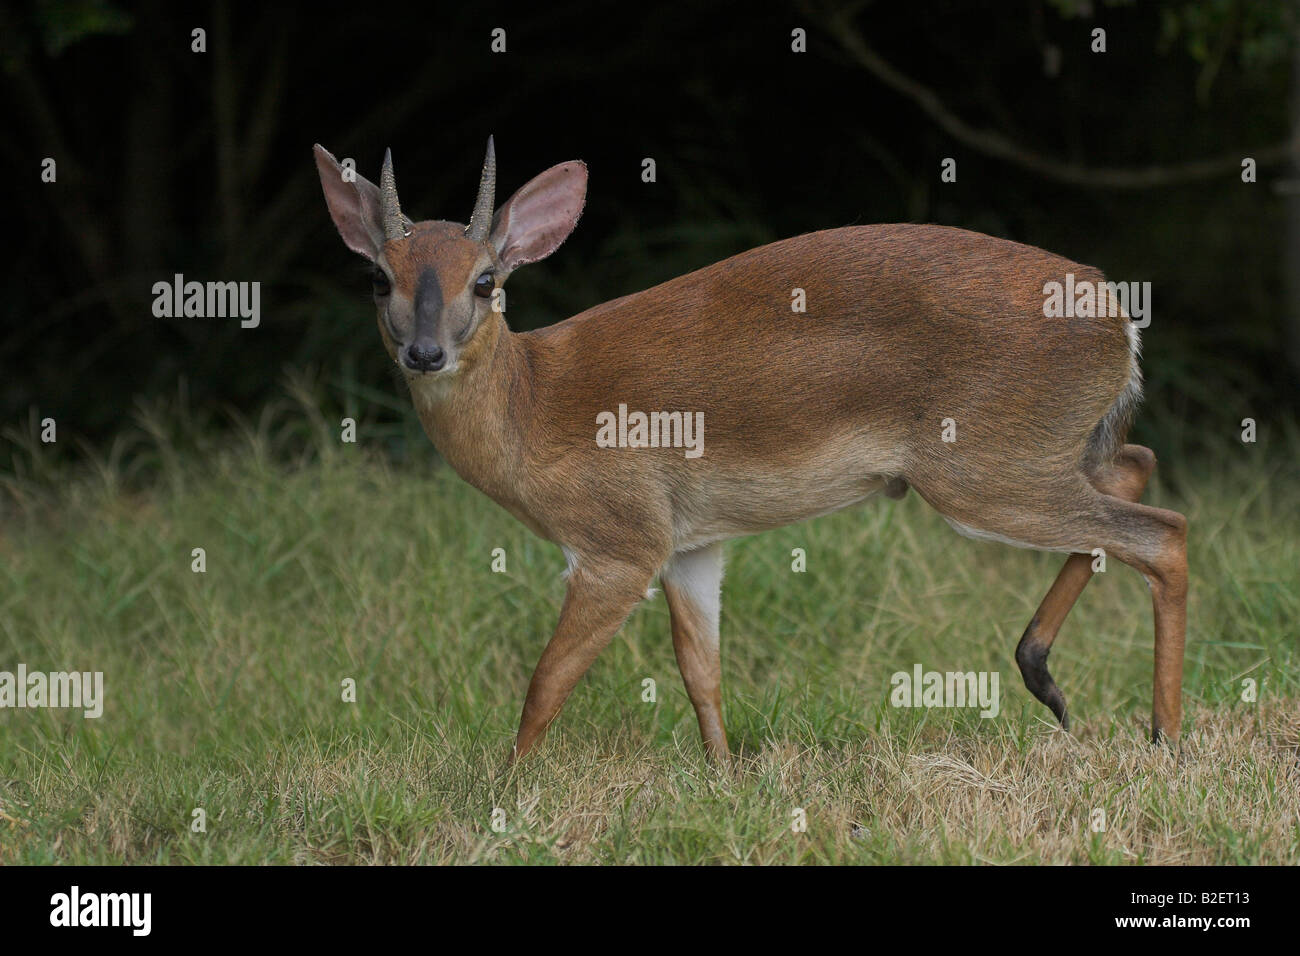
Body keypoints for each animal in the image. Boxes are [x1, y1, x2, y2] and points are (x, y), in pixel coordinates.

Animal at [313, 138, 1188, 762]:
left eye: (486, 280)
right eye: (378, 279)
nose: (425, 352)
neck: (532, 403)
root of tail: (1118, 314)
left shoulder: (619, 538)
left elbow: (546, 681)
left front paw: (505, 789)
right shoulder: (690, 544)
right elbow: (700, 669)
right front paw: (724, 772)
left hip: (982, 465)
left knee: (1164, 532)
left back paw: (1162, 736)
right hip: (1037, 450)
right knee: (1136, 468)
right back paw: (1047, 678)